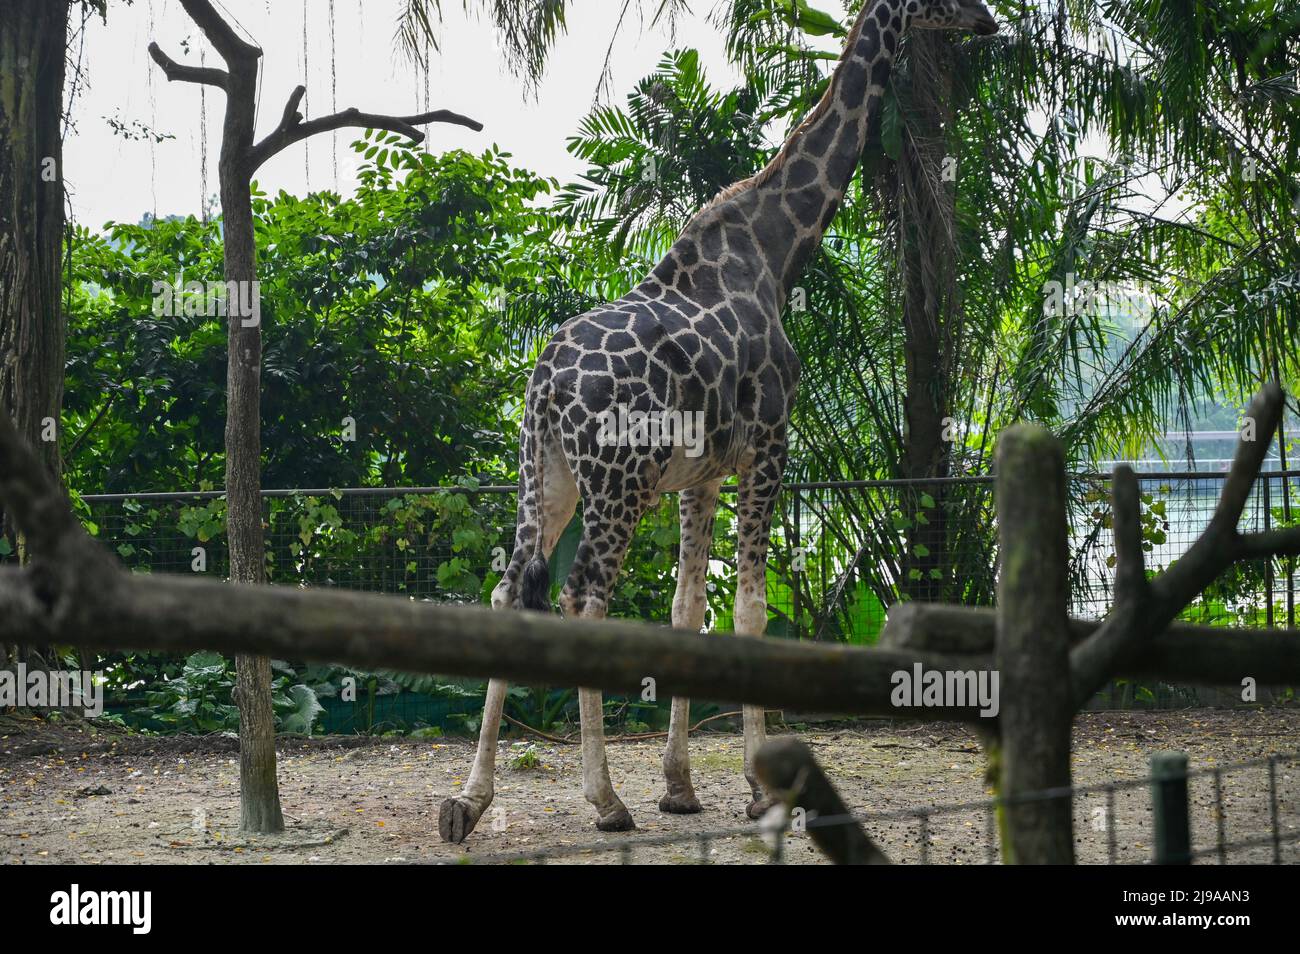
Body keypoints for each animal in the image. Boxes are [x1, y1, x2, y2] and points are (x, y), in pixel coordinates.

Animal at [438, 0, 998, 843]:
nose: (990, 22)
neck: (777, 247)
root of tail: (543, 385)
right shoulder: (768, 447)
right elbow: (750, 611)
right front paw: (760, 789)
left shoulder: (700, 475)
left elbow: (687, 611)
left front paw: (681, 786)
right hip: (616, 482)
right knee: (582, 599)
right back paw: (605, 801)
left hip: (547, 478)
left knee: (509, 594)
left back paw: (469, 801)